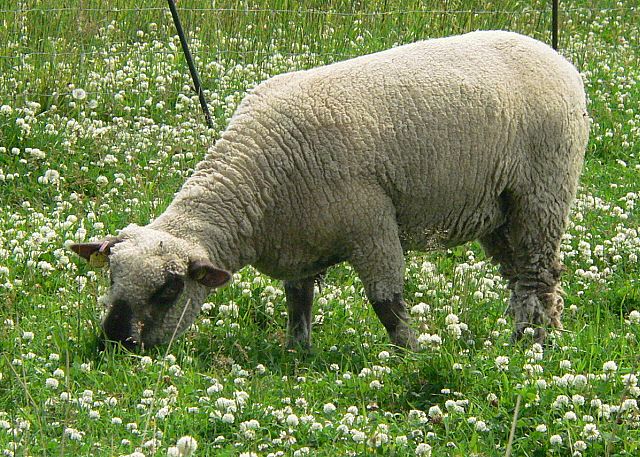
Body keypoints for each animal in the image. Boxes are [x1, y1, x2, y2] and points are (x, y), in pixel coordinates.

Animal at [71, 30, 589, 351]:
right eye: (110, 276)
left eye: (170, 289)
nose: (116, 344)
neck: (258, 183)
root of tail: (556, 57)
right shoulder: (300, 246)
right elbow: (298, 303)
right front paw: (297, 353)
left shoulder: (372, 227)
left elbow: (388, 305)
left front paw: (413, 355)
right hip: (499, 212)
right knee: (525, 278)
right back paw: (542, 337)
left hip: (543, 193)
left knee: (537, 275)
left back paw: (530, 345)